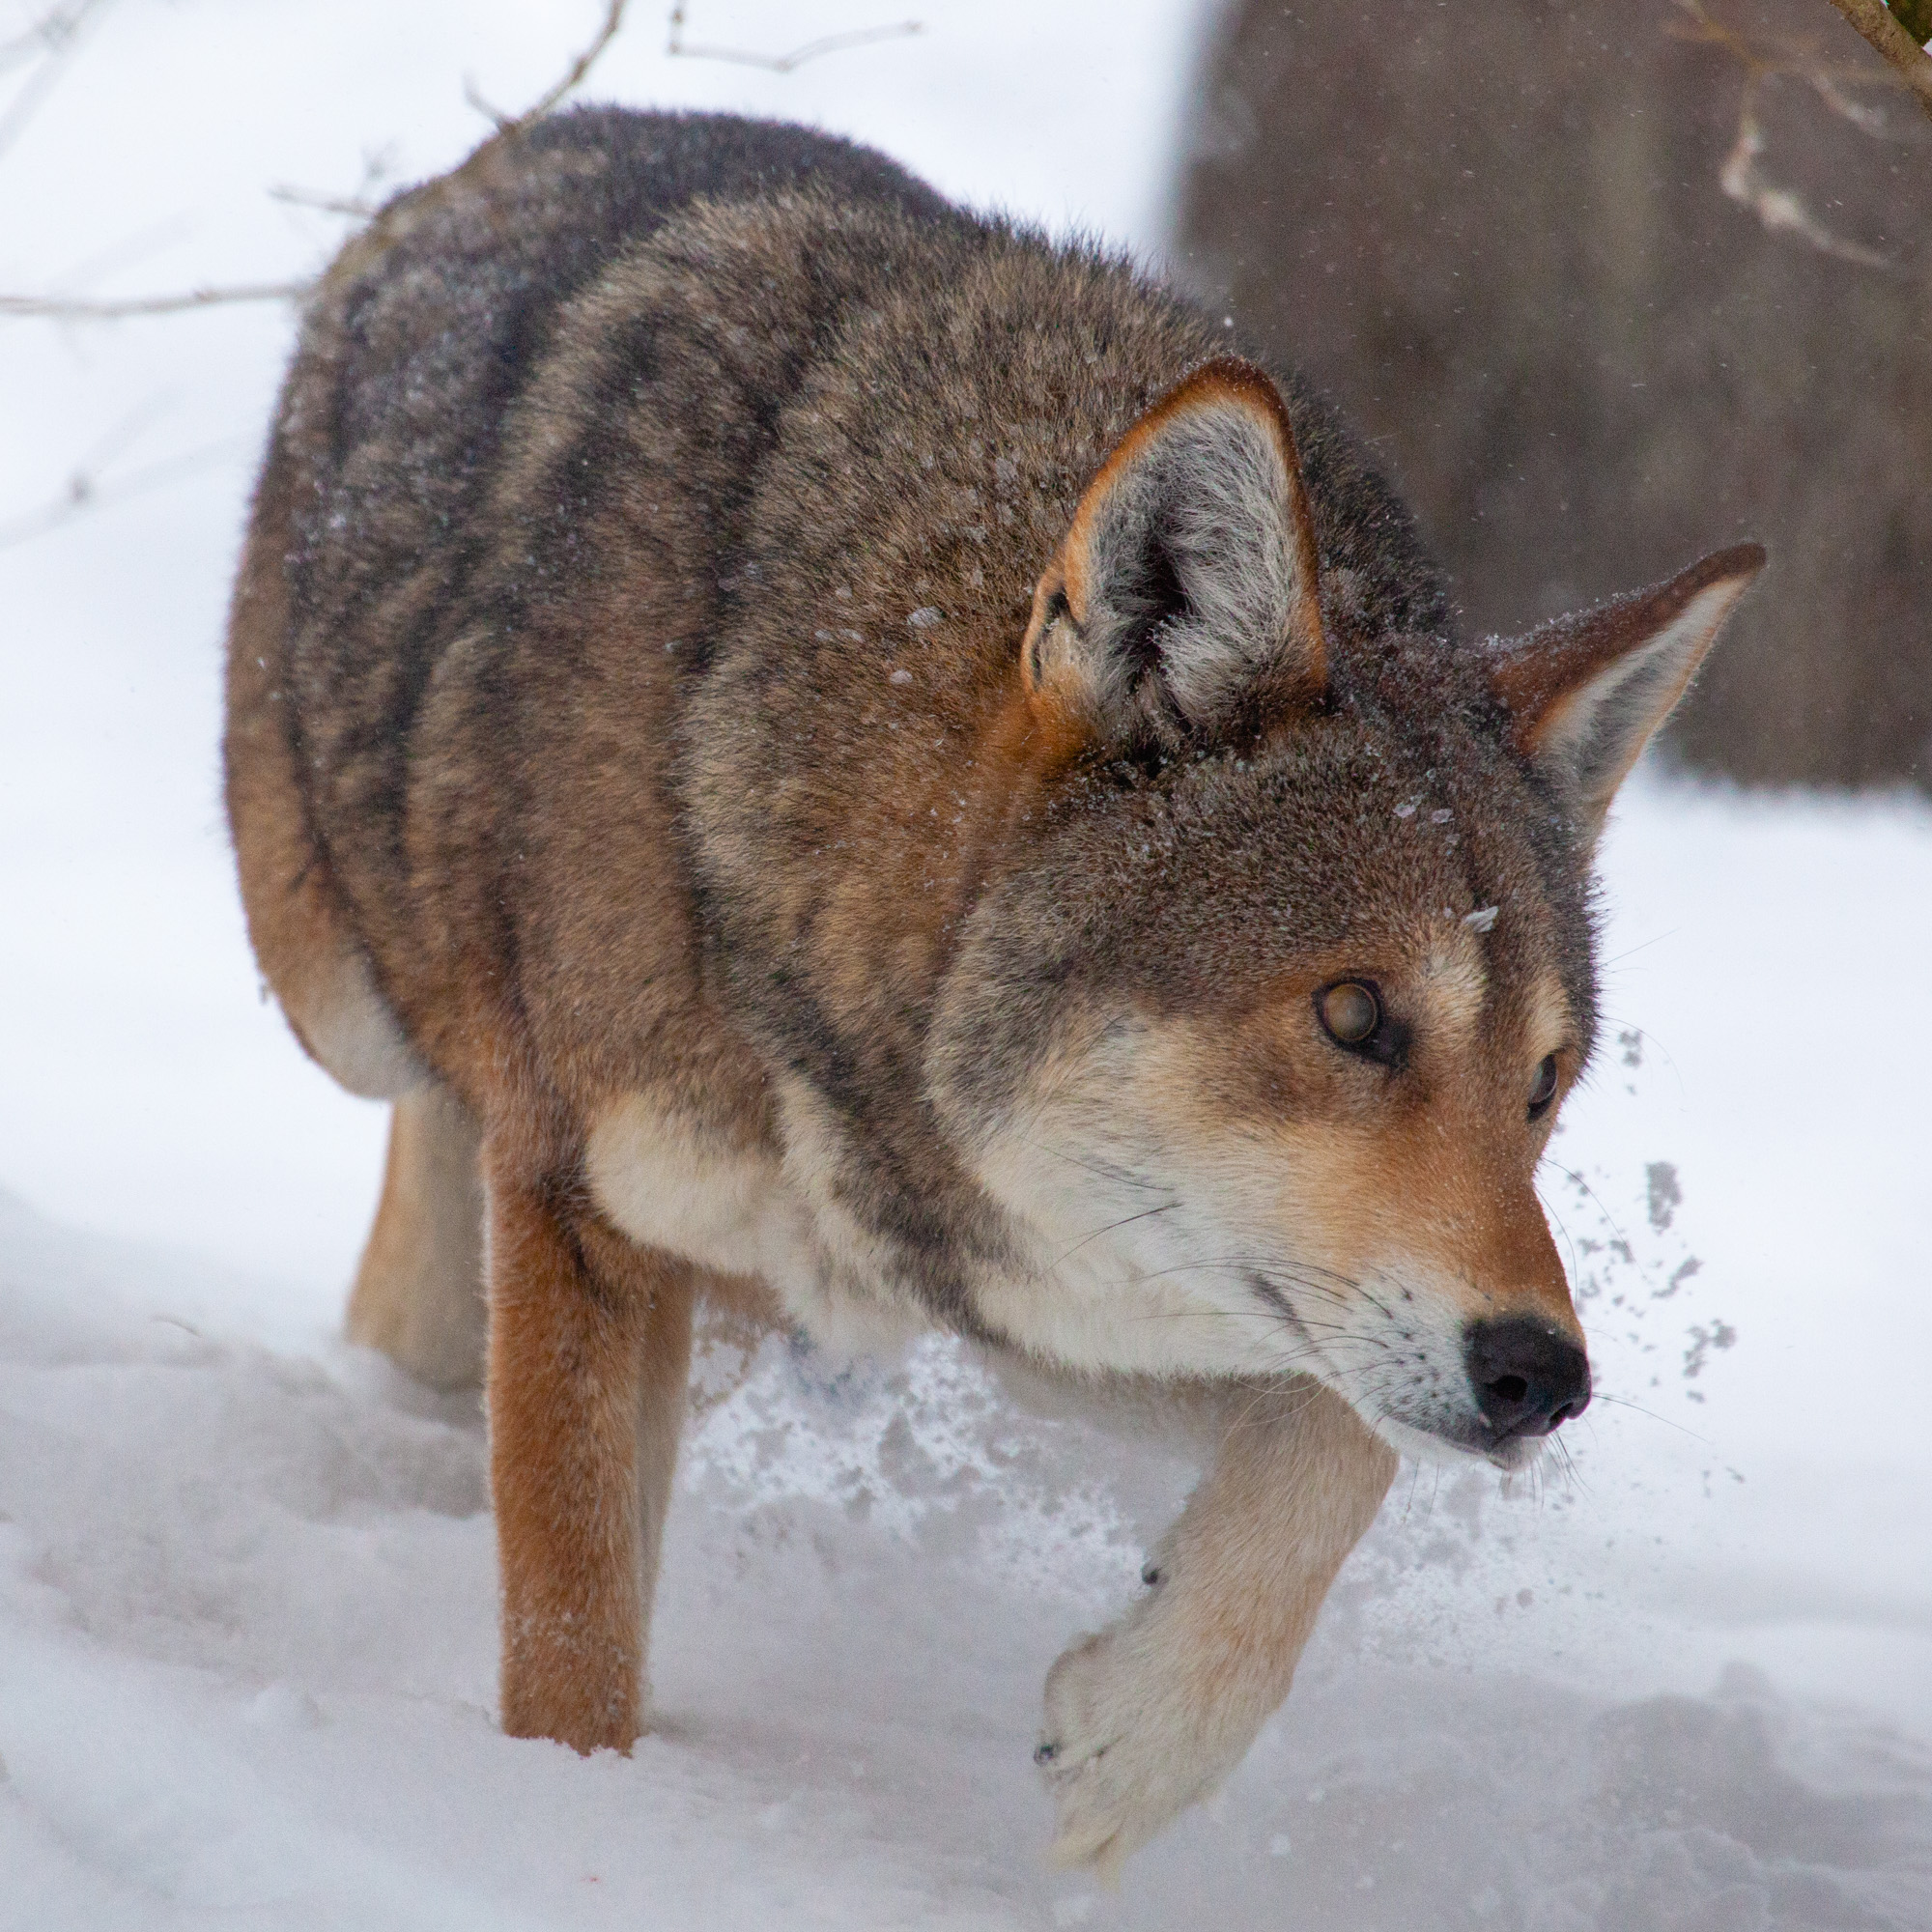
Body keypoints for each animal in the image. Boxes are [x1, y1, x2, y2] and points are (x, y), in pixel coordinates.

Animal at [224, 106, 1761, 1872]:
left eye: (1543, 1085)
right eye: (1354, 1016)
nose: (1542, 1381)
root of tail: (504, 156)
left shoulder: (1072, 1297)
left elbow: (1336, 1453)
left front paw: (1132, 1744)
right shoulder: (588, 1216)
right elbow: (573, 1646)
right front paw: (562, 1827)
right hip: (331, 998)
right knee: (424, 1153)